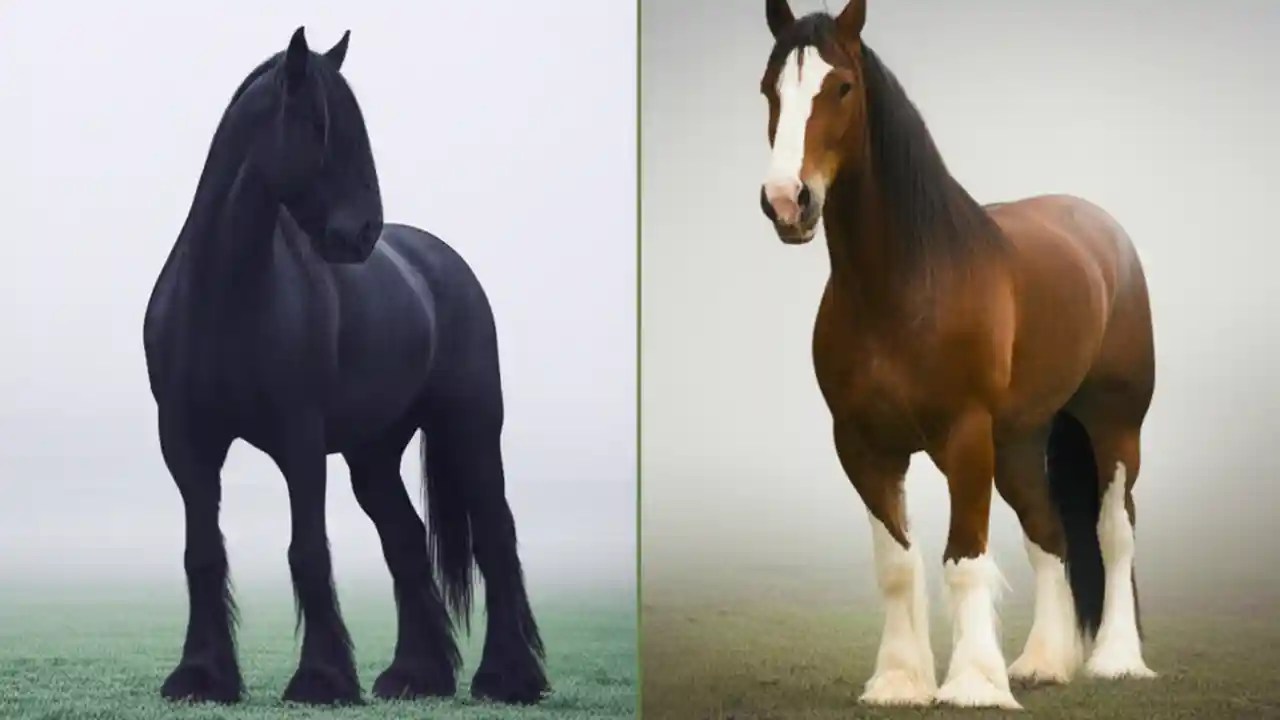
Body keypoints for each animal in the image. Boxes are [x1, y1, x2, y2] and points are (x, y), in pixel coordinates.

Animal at [143, 28, 548, 706]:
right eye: (318, 123)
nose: (363, 233)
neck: (224, 297)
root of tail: (444, 263)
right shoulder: (187, 442)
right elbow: (201, 554)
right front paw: (201, 676)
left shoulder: (300, 440)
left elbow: (307, 552)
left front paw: (322, 678)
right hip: (373, 455)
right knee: (406, 543)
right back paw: (416, 675)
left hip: (468, 427)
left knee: (495, 537)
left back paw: (508, 676)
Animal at [757, 0, 1156, 709]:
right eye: (768, 89)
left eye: (842, 87)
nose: (786, 201)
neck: (908, 282)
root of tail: (1105, 232)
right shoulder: (862, 444)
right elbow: (897, 563)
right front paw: (899, 681)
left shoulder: (964, 436)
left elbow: (964, 560)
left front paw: (972, 684)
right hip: (1021, 441)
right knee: (1049, 534)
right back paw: (1043, 662)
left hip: (1115, 425)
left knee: (1115, 531)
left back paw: (1116, 660)